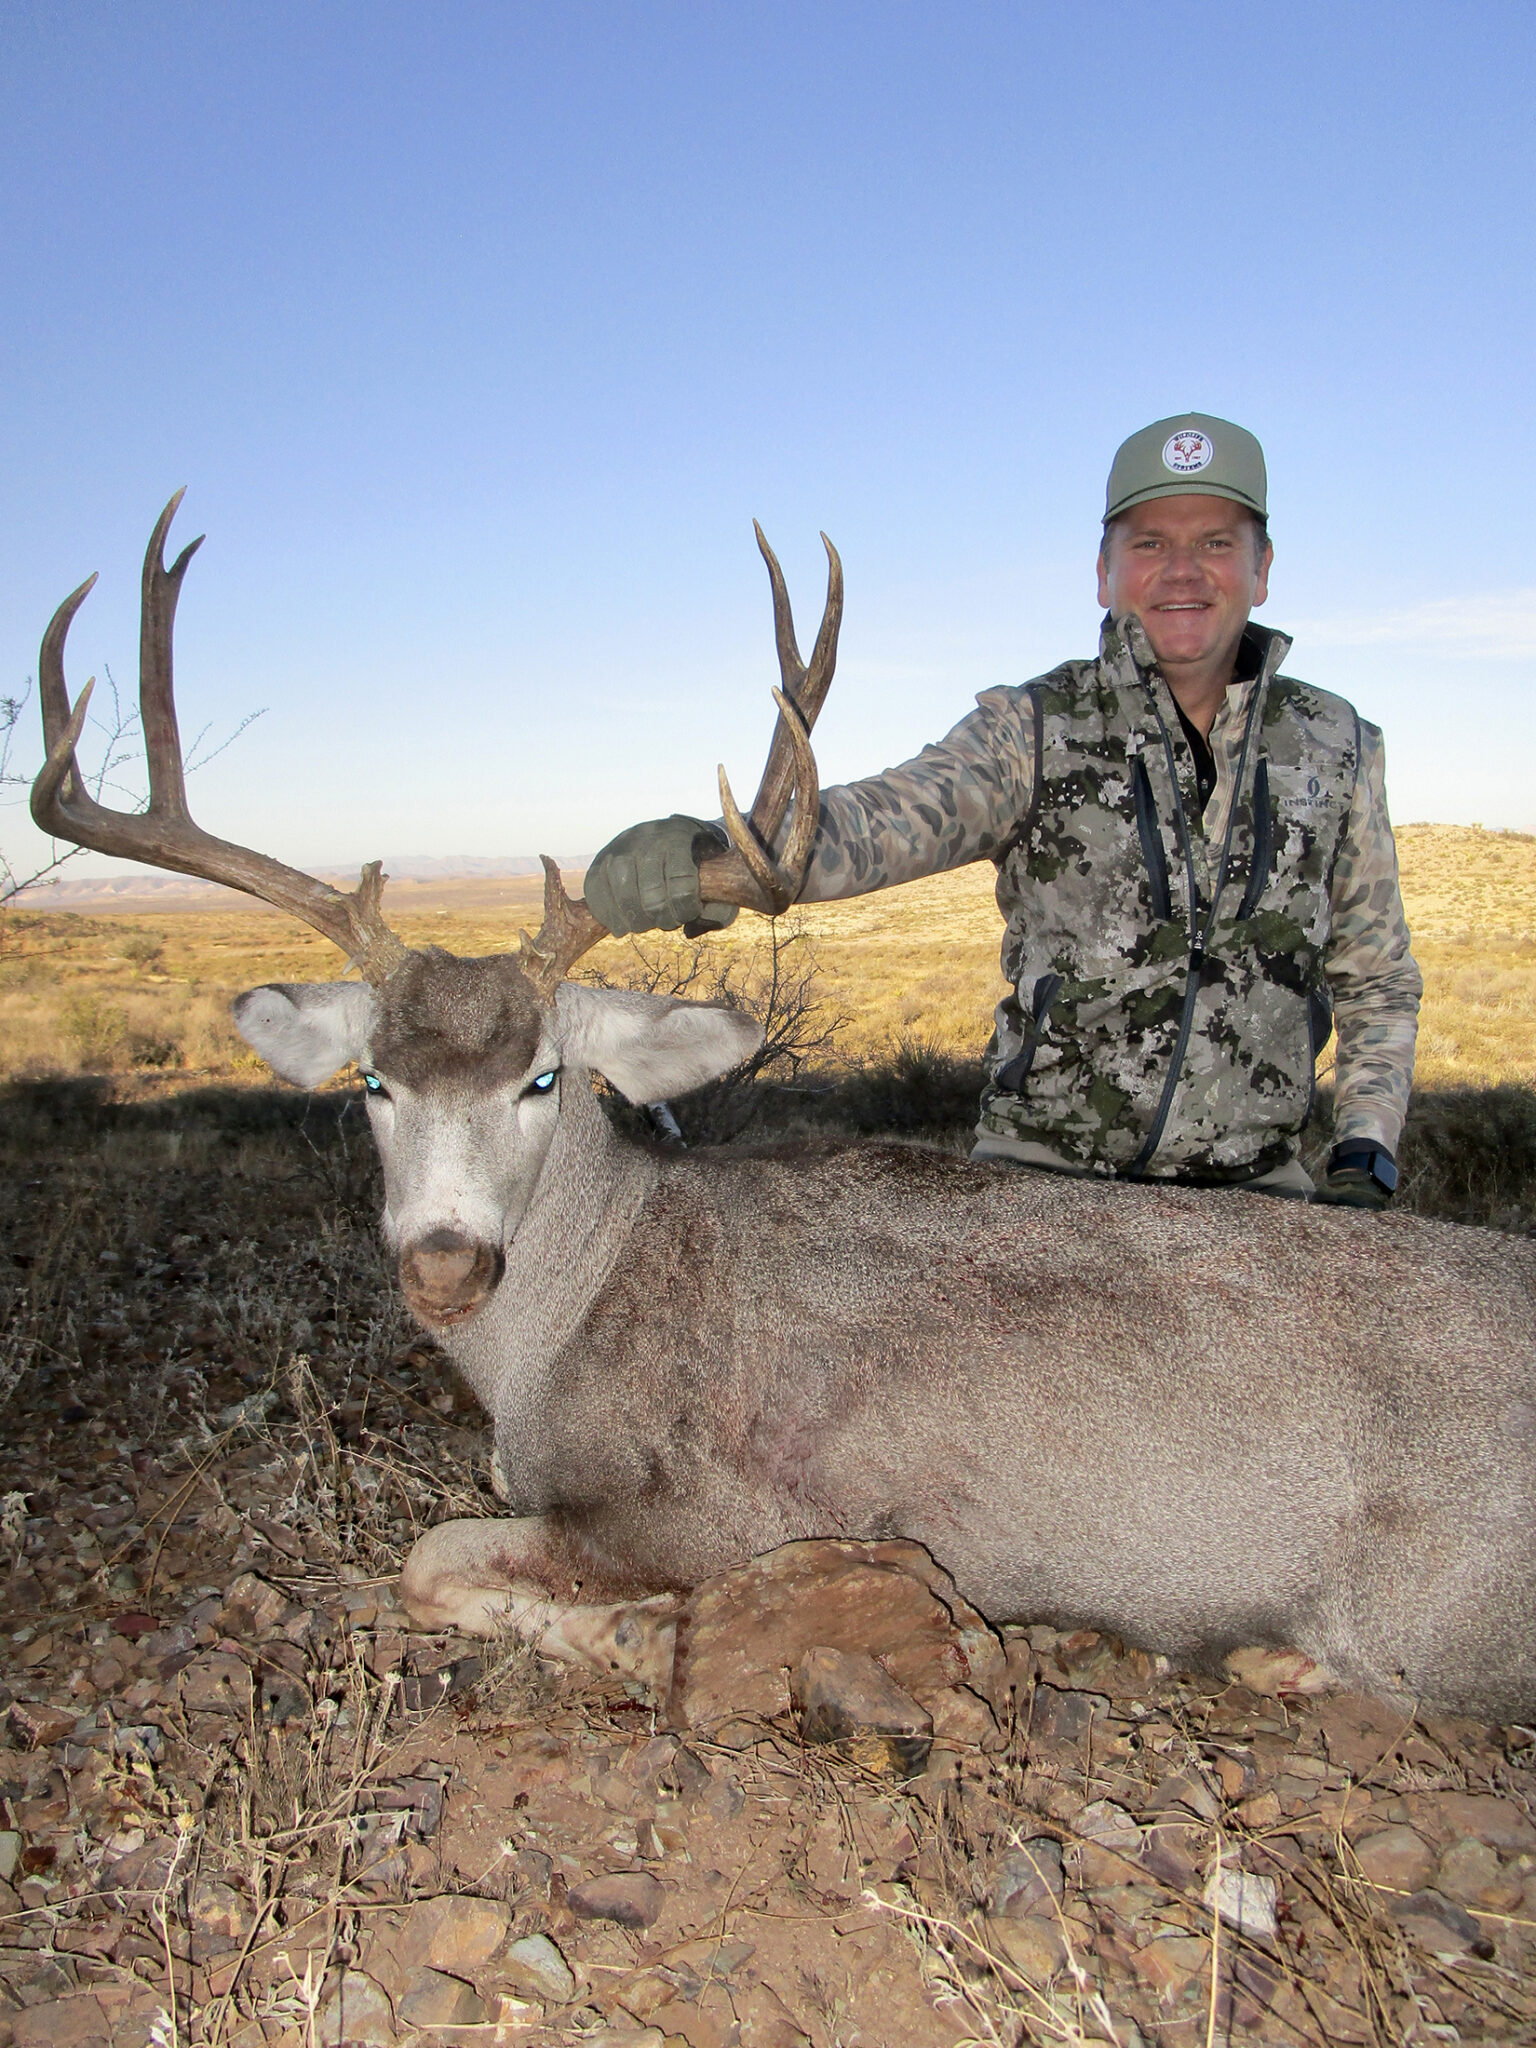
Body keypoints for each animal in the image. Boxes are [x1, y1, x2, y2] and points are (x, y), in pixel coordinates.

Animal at [32, 496, 1536, 1723]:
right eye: (371, 1081)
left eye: (541, 1076)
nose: (446, 1262)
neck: (568, 1323)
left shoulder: (718, 1502)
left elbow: (427, 1558)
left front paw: (644, 1638)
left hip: (1435, 1607)